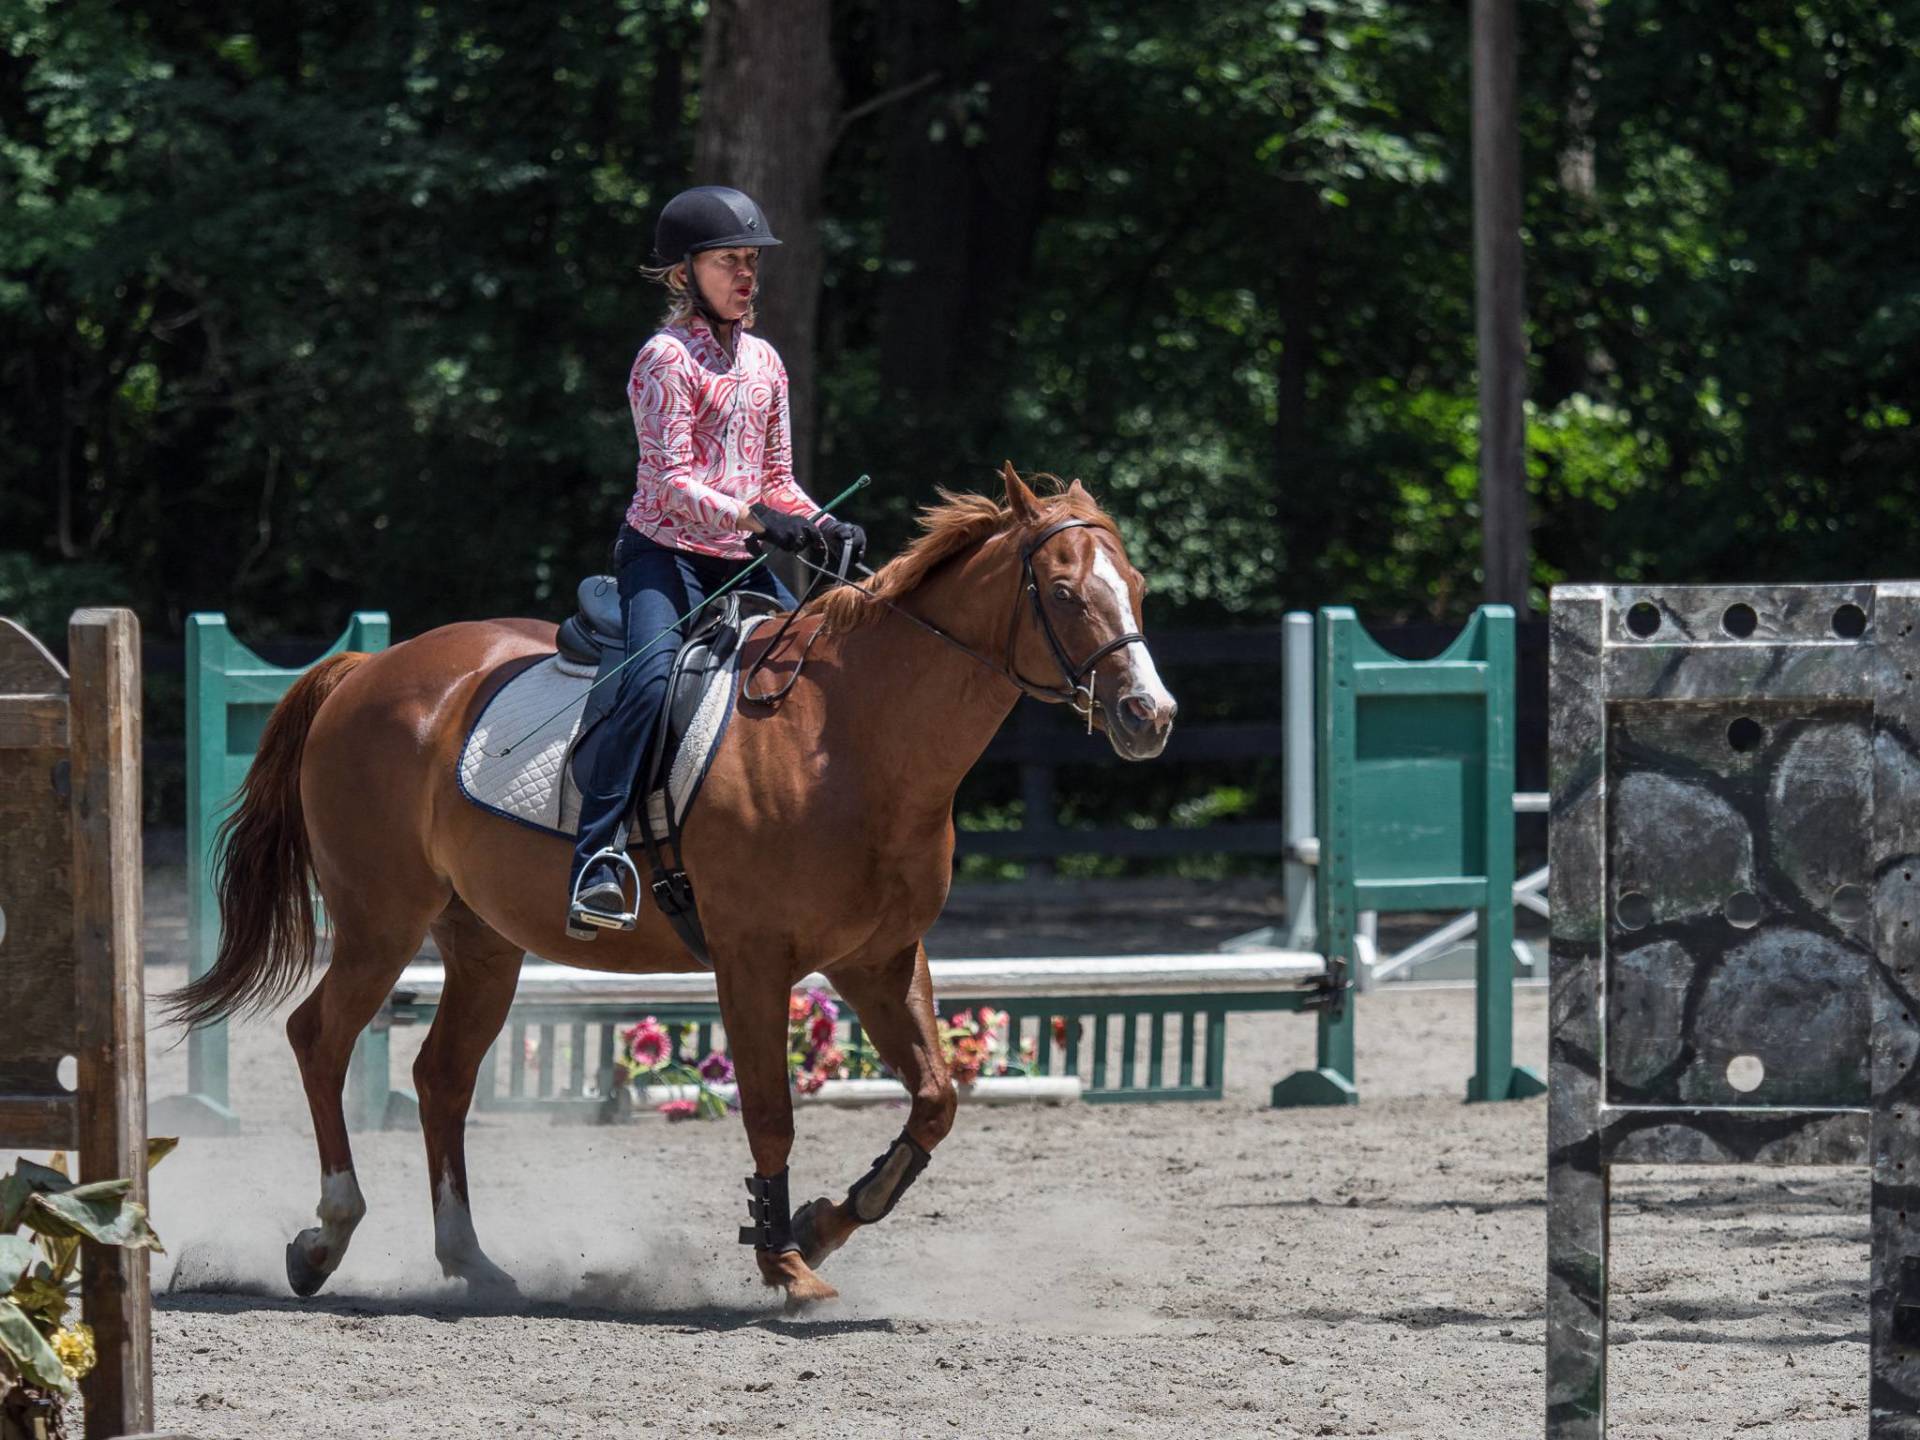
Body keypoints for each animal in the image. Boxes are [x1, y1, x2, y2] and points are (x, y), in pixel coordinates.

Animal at [169, 464, 1177, 1311]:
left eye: (1135, 589)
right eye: (1061, 593)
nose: (1151, 716)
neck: (855, 738)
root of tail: (366, 670)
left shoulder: (882, 960)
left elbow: (935, 1100)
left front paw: (823, 1222)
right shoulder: (754, 961)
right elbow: (770, 1112)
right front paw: (785, 1261)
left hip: (483, 942)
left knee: (440, 1077)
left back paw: (471, 1263)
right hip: (381, 920)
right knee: (320, 1039)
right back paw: (324, 1239)